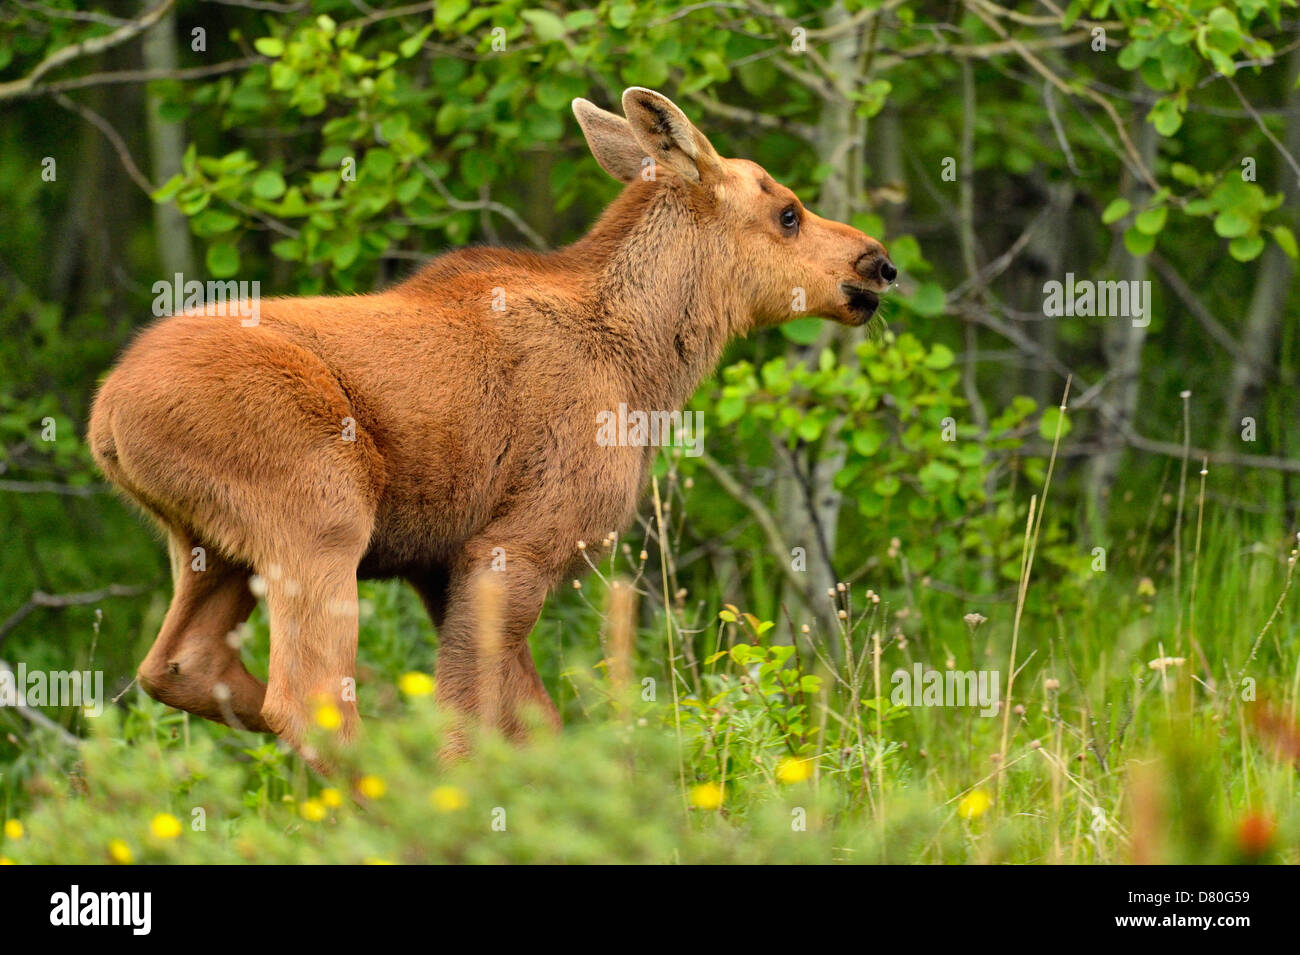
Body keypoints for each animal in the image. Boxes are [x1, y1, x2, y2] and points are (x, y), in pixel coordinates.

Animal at [88, 87, 896, 760]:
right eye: (787, 213)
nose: (879, 262)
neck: (647, 371)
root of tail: (105, 418)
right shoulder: (517, 540)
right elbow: (473, 724)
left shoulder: (439, 561)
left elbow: (531, 722)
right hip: (319, 516)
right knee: (307, 703)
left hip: (213, 548)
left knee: (179, 665)